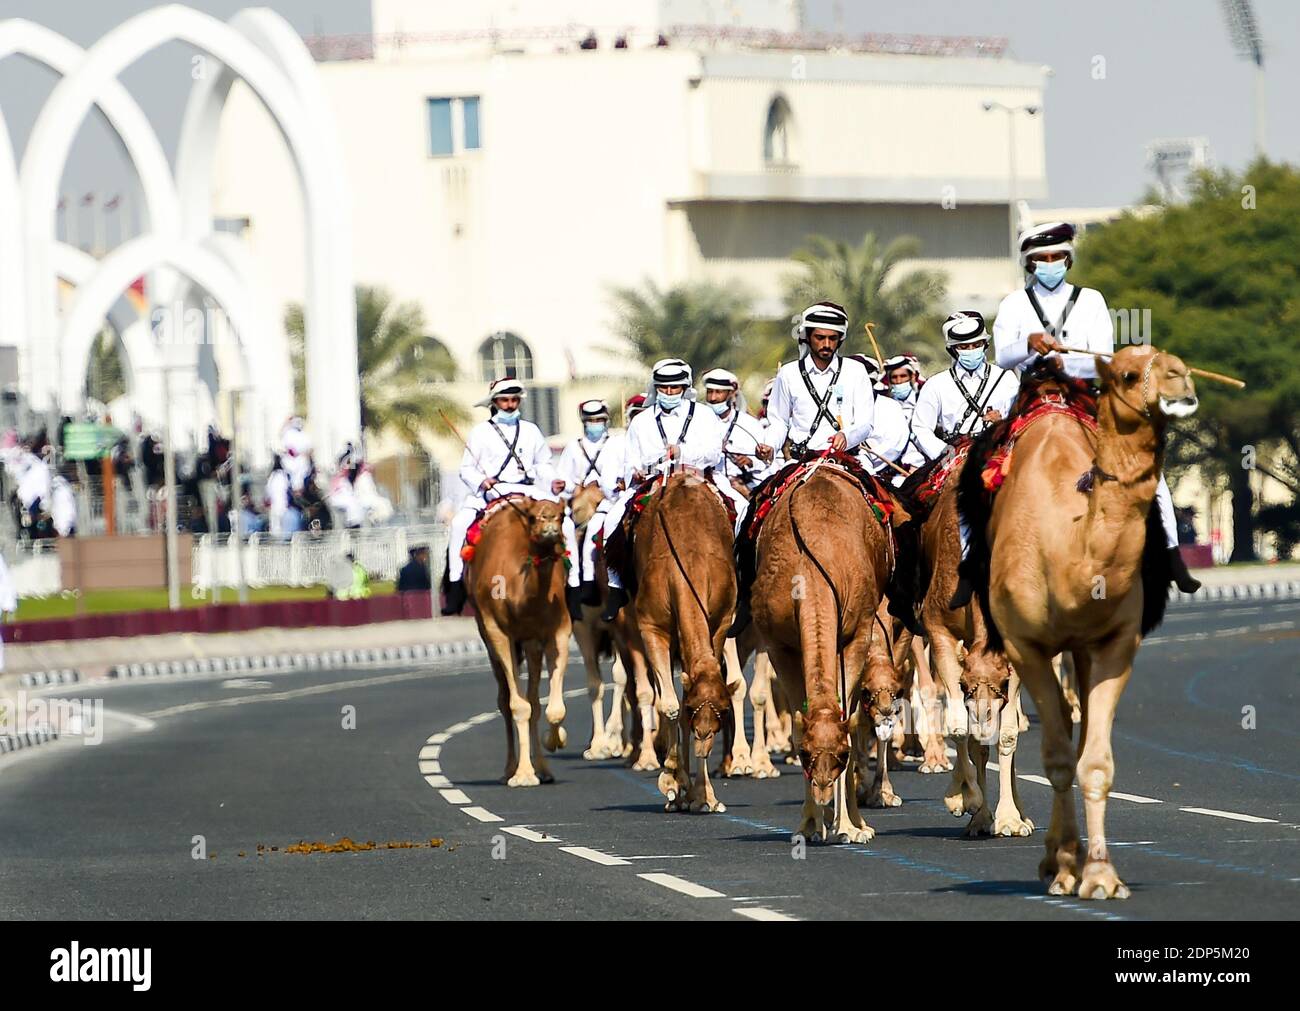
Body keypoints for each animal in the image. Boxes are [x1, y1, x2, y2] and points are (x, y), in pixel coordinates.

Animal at [466, 496, 572, 787]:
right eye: (534, 517)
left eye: (562, 515)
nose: (550, 526)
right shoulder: (497, 630)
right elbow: (517, 705)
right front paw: (523, 775)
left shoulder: (557, 628)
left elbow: (551, 709)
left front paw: (555, 741)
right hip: (489, 637)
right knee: (505, 700)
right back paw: (509, 770)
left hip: (530, 643)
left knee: (533, 700)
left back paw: (544, 769)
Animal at [631, 469, 737, 813]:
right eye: (693, 710)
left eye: (723, 712)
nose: (703, 734)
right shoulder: (650, 627)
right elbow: (670, 705)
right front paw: (672, 781)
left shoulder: (721, 623)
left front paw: (703, 796)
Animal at [752, 458, 904, 843]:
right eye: (804, 755)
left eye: (841, 755)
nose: (821, 792)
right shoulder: (778, 643)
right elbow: (797, 721)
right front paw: (808, 824)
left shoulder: (857, 633)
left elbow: (849, 719)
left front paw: (850, 826)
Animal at [962, 346, 1195, 898]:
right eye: (1128, 373)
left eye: (1176, 361)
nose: (1182, 382)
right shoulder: (1024, 645)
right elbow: (1055, 756)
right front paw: (1062, 866)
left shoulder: (1114, 643)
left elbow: (1094, 760)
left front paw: (1100, 875)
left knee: (1082, 727)